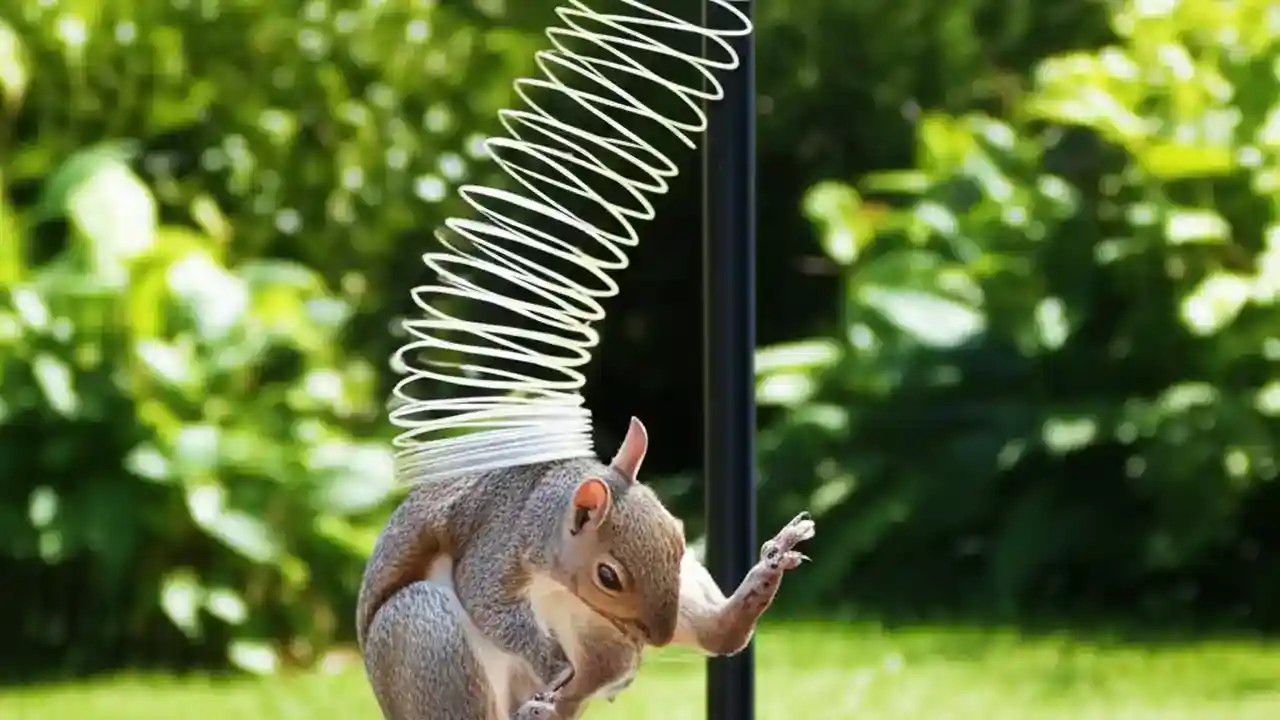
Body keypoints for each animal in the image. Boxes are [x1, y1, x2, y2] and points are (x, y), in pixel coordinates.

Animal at [357, 417, 816, 720]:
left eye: (680, 537)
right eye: (608, 576)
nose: (659, 638)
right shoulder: (494, 548)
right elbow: (490, 605)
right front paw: (555, 666)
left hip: (588, 621)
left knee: (708, 638)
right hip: (425, 635)